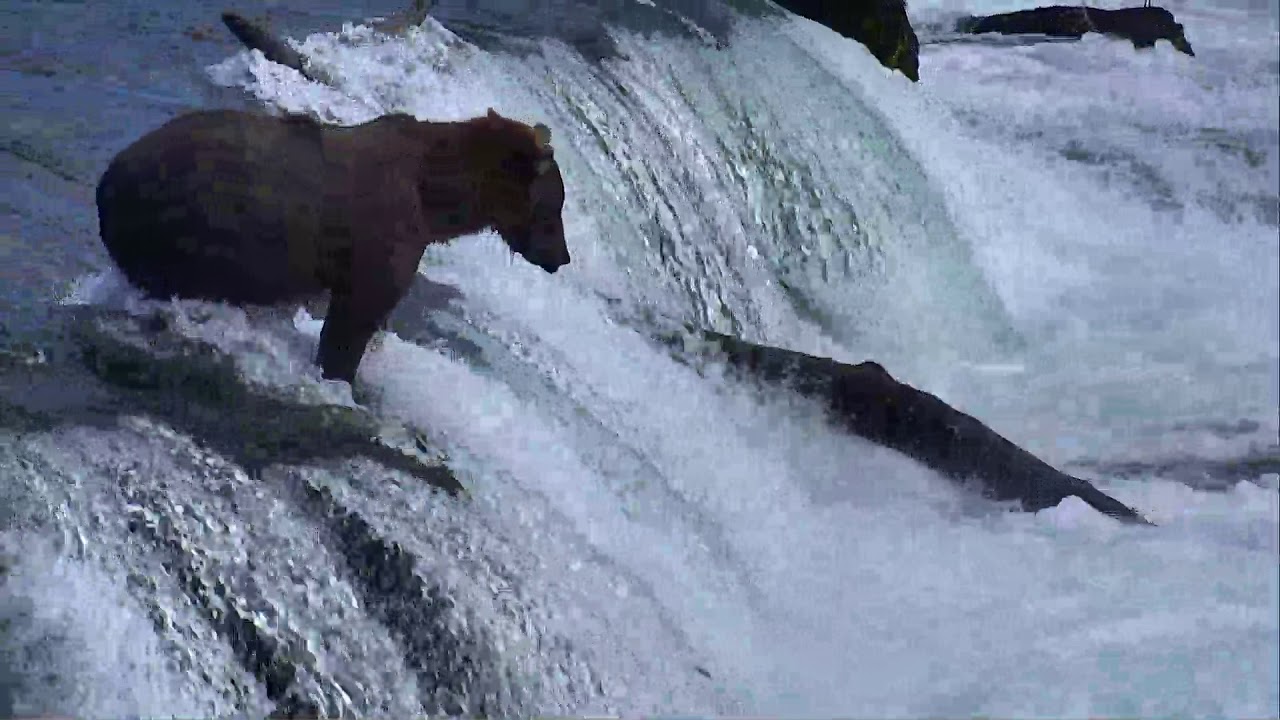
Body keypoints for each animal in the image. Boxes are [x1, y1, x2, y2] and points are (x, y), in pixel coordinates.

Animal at [95, 106, 570, 383]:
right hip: (182, 226)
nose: (562, 258)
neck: (434, 198)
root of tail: (108, 177)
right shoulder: (382, 240)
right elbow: (354, 319)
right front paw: (339, 374)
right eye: (556, 205)